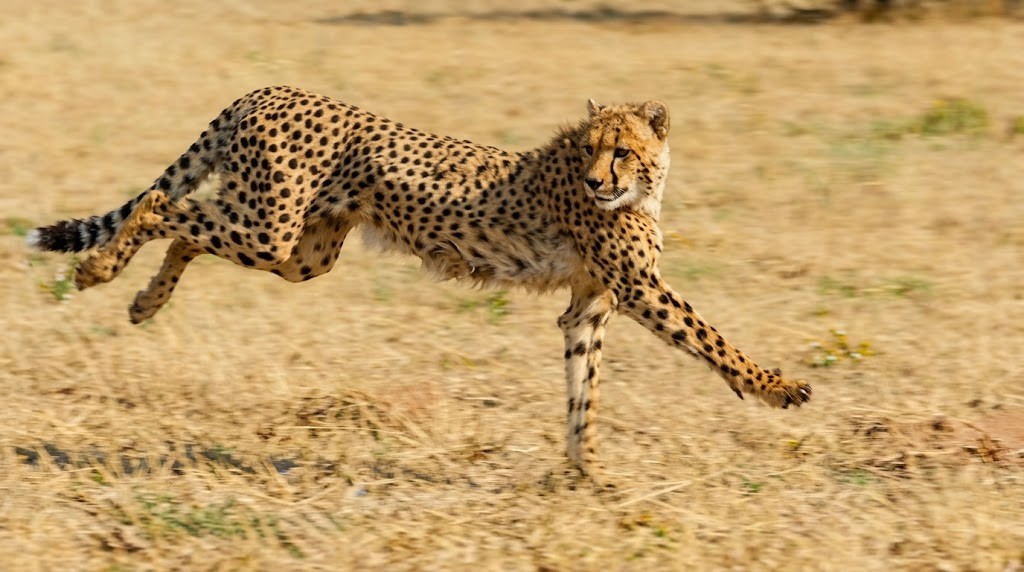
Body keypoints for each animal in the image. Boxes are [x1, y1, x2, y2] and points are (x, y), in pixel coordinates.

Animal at [27, 86, 811, 479]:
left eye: (620, 150)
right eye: (591, 150)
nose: (596, 182)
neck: (640, 191)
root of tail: (274, 86)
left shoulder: (588, 308)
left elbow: (581, 391)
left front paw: (581, 470)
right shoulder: (644, 291)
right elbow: (715, 341)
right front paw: (777, 387)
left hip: (302, 251)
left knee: (185, 228)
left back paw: (143, 299)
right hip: (269, 225)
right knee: (160, 206)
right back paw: (99, 270)